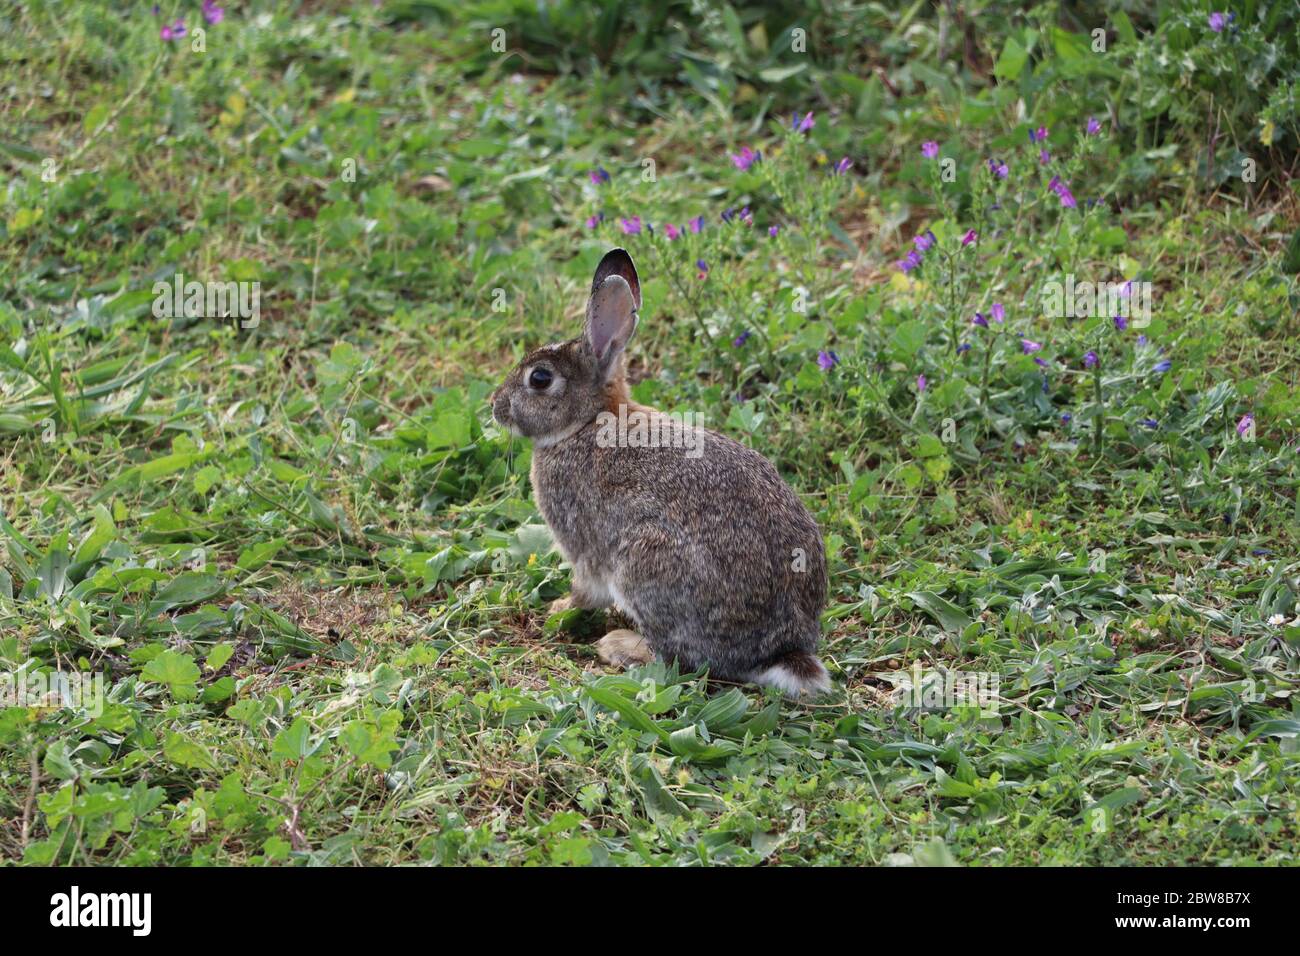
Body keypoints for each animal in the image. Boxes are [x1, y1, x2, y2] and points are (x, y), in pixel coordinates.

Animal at [491, 248, 830, 696]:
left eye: (540, 378)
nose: (495, 406)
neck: (586, 422)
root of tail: (776, 650)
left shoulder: (583, 545)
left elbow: (585, 590)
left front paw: (557, 608)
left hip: (643, 560)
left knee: (676, 658)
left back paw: (618, 645)